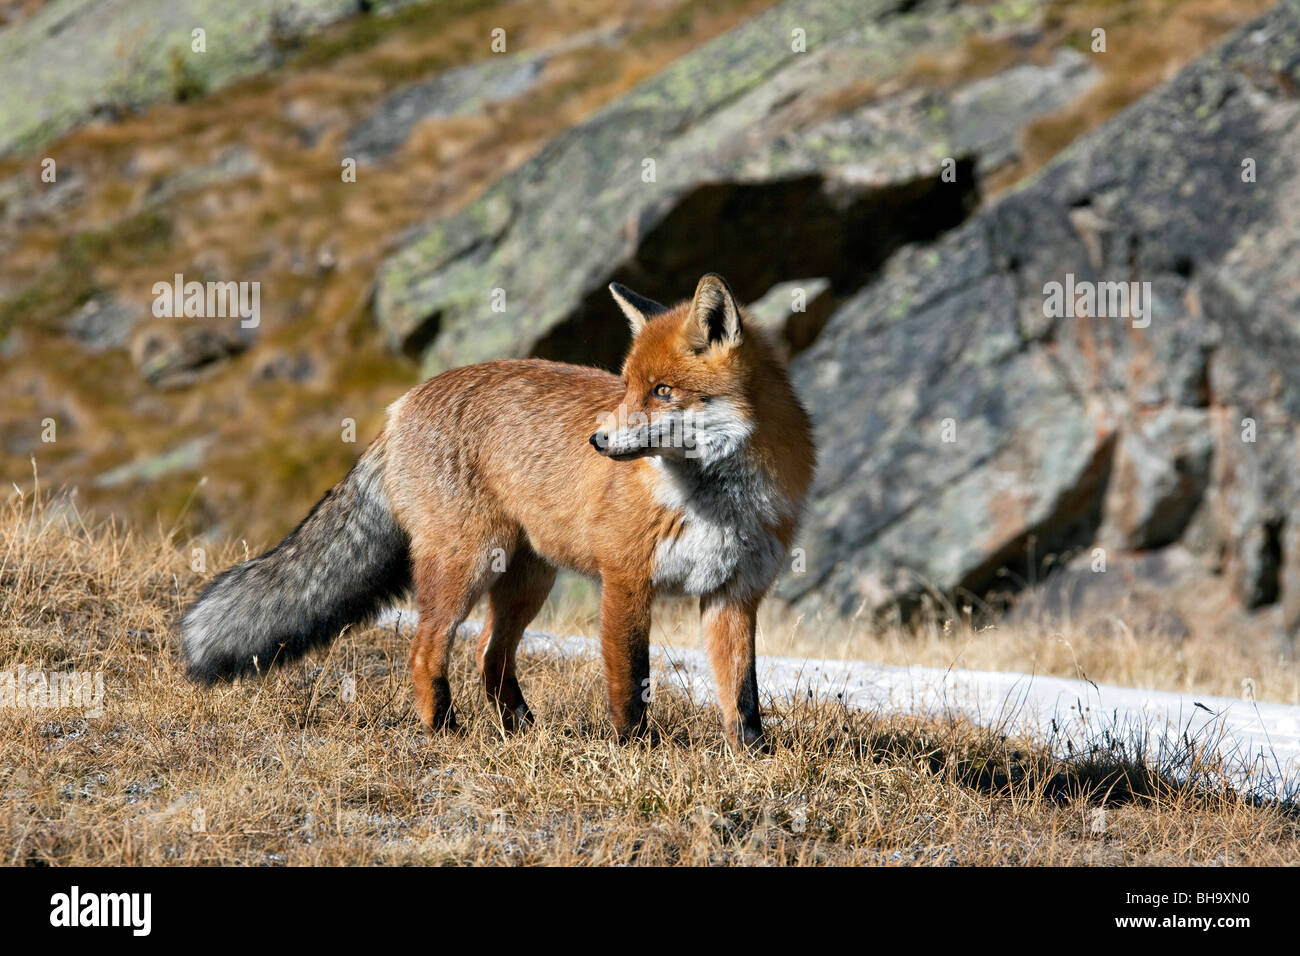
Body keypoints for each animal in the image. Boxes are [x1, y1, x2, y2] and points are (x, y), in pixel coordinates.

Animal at [180, 273, 816, 751]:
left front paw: (752, 759)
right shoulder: (626, 579)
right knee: (427, 651)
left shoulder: (734, 593)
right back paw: (444, 731)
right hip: (467, 565)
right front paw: (637, 752)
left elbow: (743, 693)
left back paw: (522, 731)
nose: (597, 441)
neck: (716, 502)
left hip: (526, 580)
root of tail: (401, 405)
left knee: (491, 658)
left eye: (662, 391)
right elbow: (630, 680)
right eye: (627, 386)